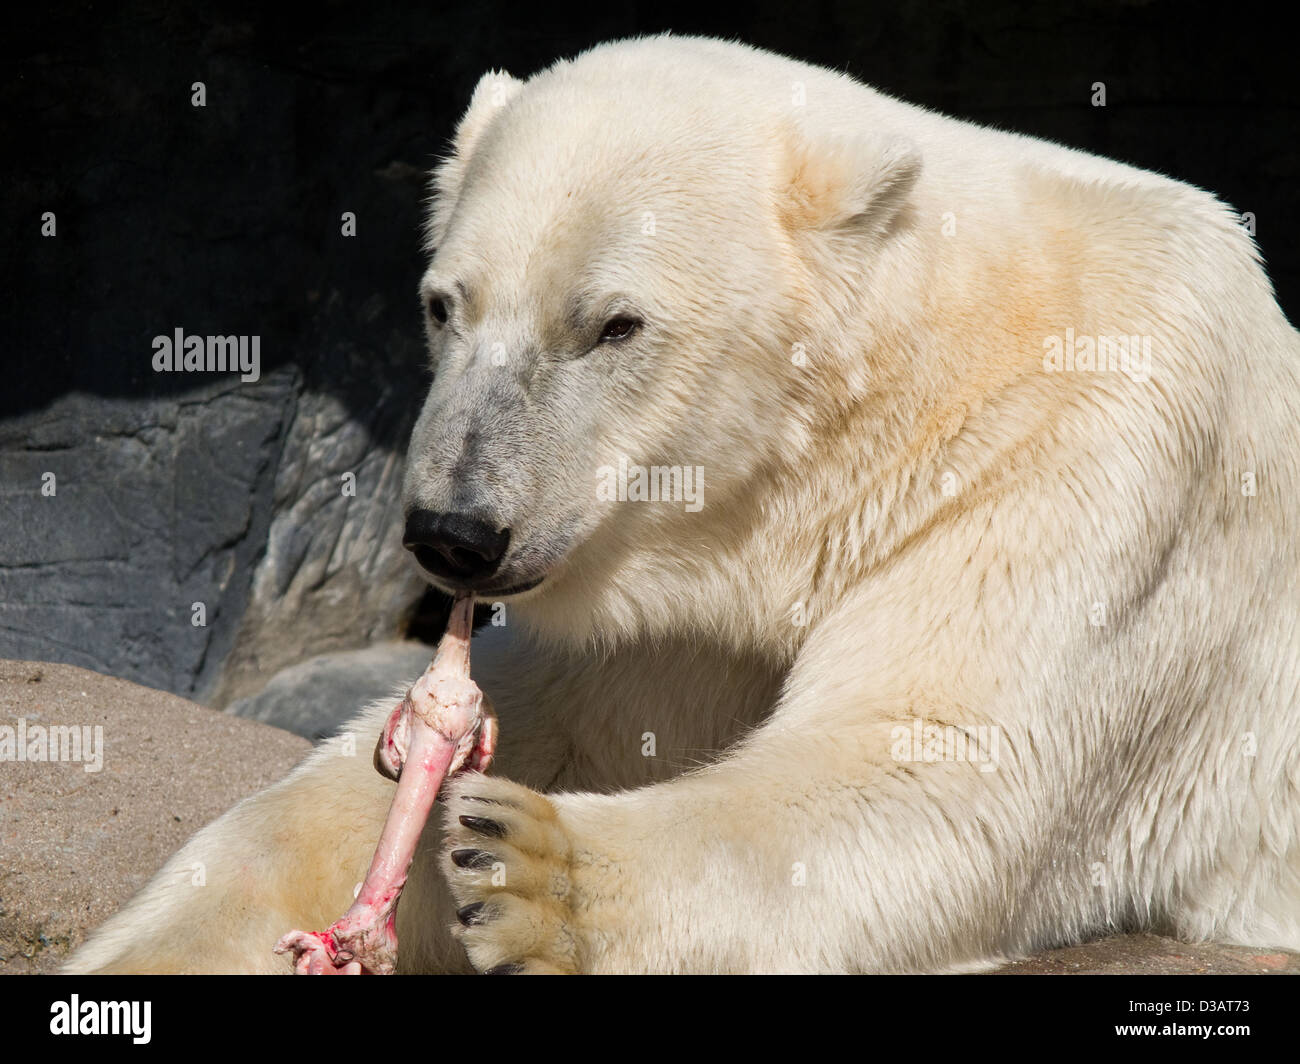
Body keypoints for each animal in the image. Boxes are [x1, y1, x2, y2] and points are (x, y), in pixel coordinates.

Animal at [67, 34, 1300, 974]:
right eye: (442, 303)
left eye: (614, 324)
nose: (453, 533)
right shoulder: (660, 573)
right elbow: (522, 723)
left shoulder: (1088, 456)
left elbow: (941, 766)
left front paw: (527, 870)